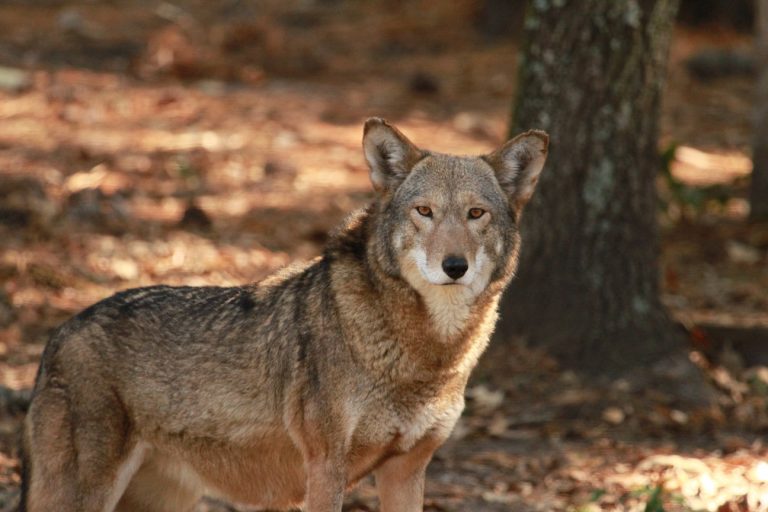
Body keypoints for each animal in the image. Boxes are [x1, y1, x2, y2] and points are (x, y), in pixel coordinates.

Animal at [20, 118, 548, 512]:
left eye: (476, 214)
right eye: (424, 211)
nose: (454, 266)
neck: (428, 357)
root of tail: (59, 332)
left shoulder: (408, 469)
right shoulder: (326, 465)